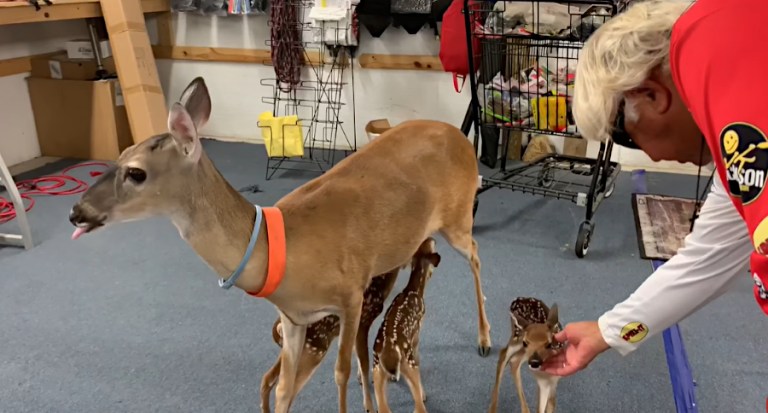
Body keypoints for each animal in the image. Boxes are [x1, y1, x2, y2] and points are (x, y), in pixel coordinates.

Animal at [260, 269, 399, 413]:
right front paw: (369, 407)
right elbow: (365, 363)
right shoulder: (363, 321)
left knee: (267, 378)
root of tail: (278, 327)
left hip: (294, 349)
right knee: (285, 393)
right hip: (315, 349)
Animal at [372, 237, 441, 413]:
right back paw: (422, 396)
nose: (433, 238)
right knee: (418, 407)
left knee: (383, 408)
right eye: (431, 244)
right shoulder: (416, 335)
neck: (414, 290)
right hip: (408, 364)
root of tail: (389, 350)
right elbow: (418, 357)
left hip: (377, 372)